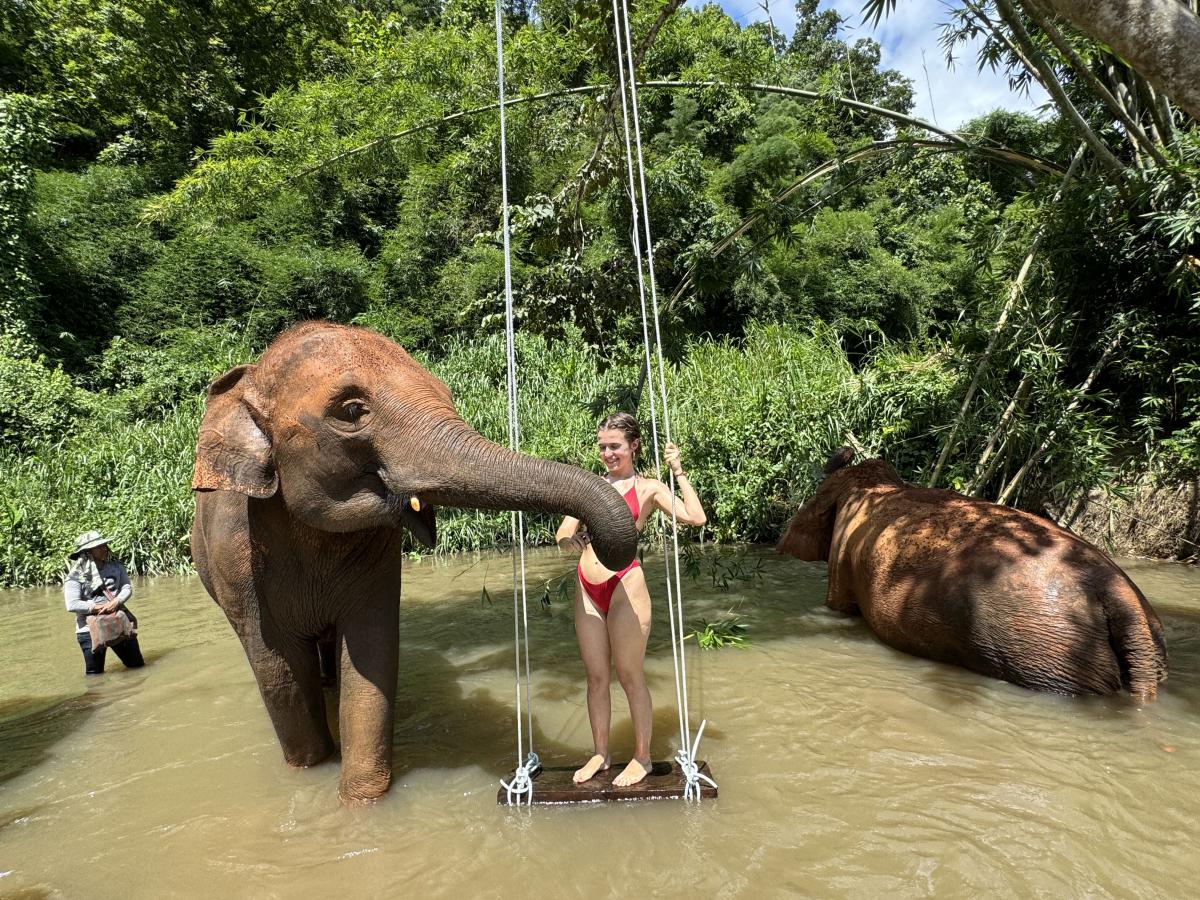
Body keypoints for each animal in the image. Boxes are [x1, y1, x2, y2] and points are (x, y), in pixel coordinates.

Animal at [190, 321, 637, 803]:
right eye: (351, 410)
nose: (592, 542)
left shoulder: (377, 558)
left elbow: (371, 659)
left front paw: (361, 802)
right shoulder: (236, 564)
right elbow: (280, 676)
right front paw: (314, 774)